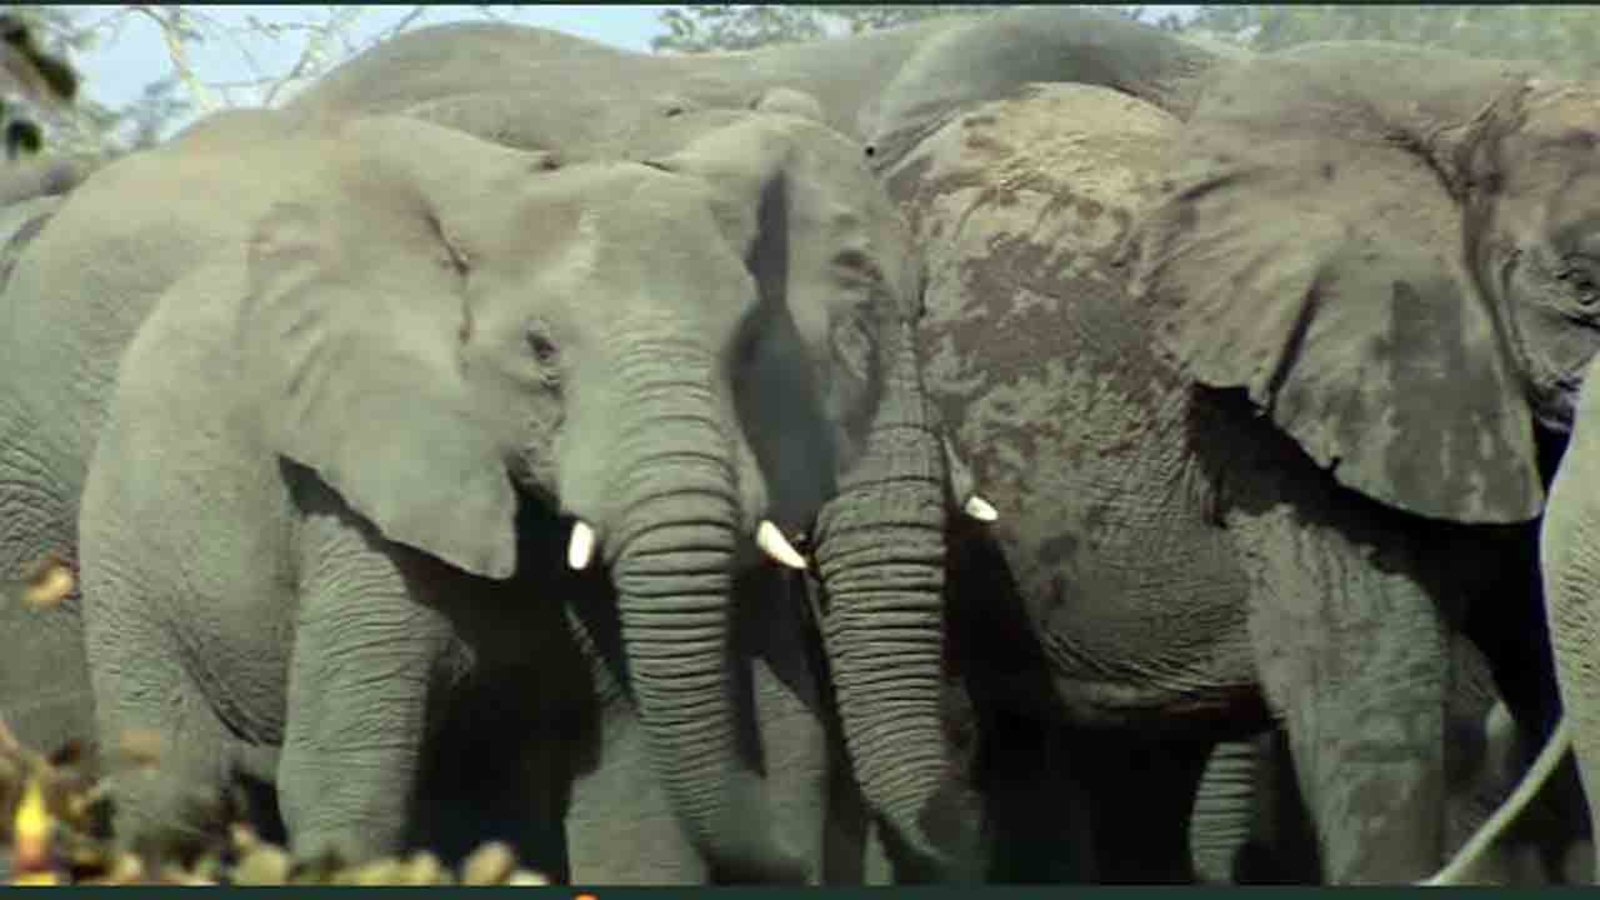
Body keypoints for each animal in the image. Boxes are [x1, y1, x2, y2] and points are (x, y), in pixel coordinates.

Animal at [75, 100, 981, 884]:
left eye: (747, 344)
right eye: (541, 351)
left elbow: (633, 797)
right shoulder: (366, 498)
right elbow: (345, 783)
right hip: (120, 552)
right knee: (178, 794)